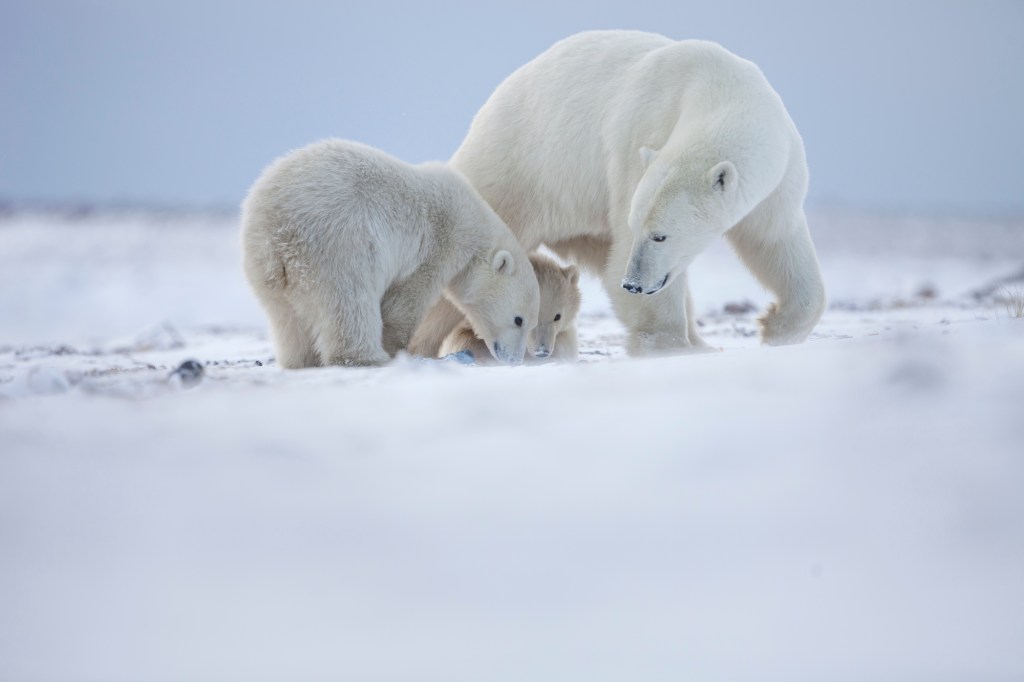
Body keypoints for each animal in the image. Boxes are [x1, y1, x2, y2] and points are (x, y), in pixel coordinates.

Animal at [241, 138, 540, 368]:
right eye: (519, 320)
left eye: (530, 323)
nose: (515, 360)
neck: (474, 220)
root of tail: (278, 230)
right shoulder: (439, 243)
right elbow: (404, 303)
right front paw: (399, 349)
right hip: (337, 242)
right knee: (349, 300)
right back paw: (367, 357)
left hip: (265, 264)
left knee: (287, 319)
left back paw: (302, 361)